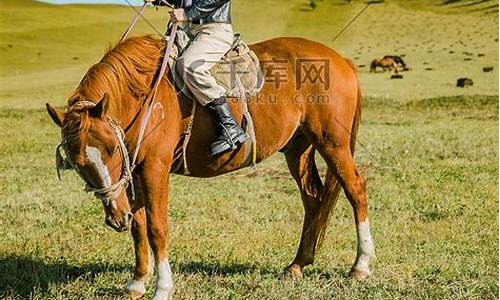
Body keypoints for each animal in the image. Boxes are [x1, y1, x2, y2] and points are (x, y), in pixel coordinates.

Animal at [46, 35, 376, 300]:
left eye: (112, 149)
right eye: (76, 162)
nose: (115, 218)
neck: (142, 96)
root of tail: (340, 60)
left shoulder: (154, 169)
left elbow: (156, 228)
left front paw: (163, 287)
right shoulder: (134, 172)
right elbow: (139, 225)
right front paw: (137, 282)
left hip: (332, 144)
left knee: (355, 189)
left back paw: (360, 265)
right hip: (299, 149)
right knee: (312, 200)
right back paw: (298, 264)